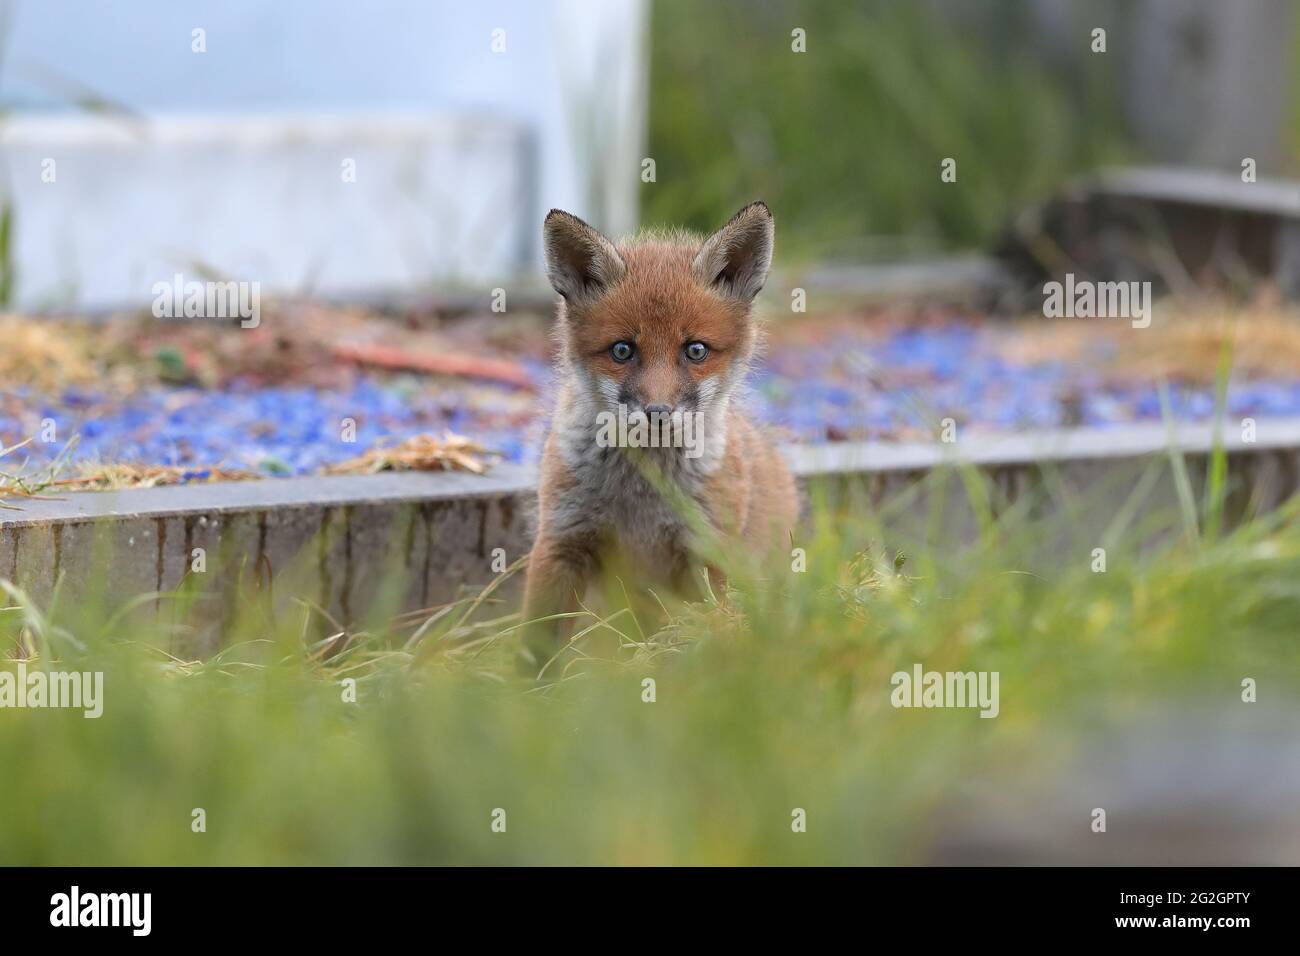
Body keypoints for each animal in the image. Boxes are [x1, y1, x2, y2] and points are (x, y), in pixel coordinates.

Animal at [521, 201, 799, 673]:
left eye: (696, 350)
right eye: (622, 350)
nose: (658, 414)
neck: (642, 497)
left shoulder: (706, 554)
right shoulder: (561, 540)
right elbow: (535, 647)